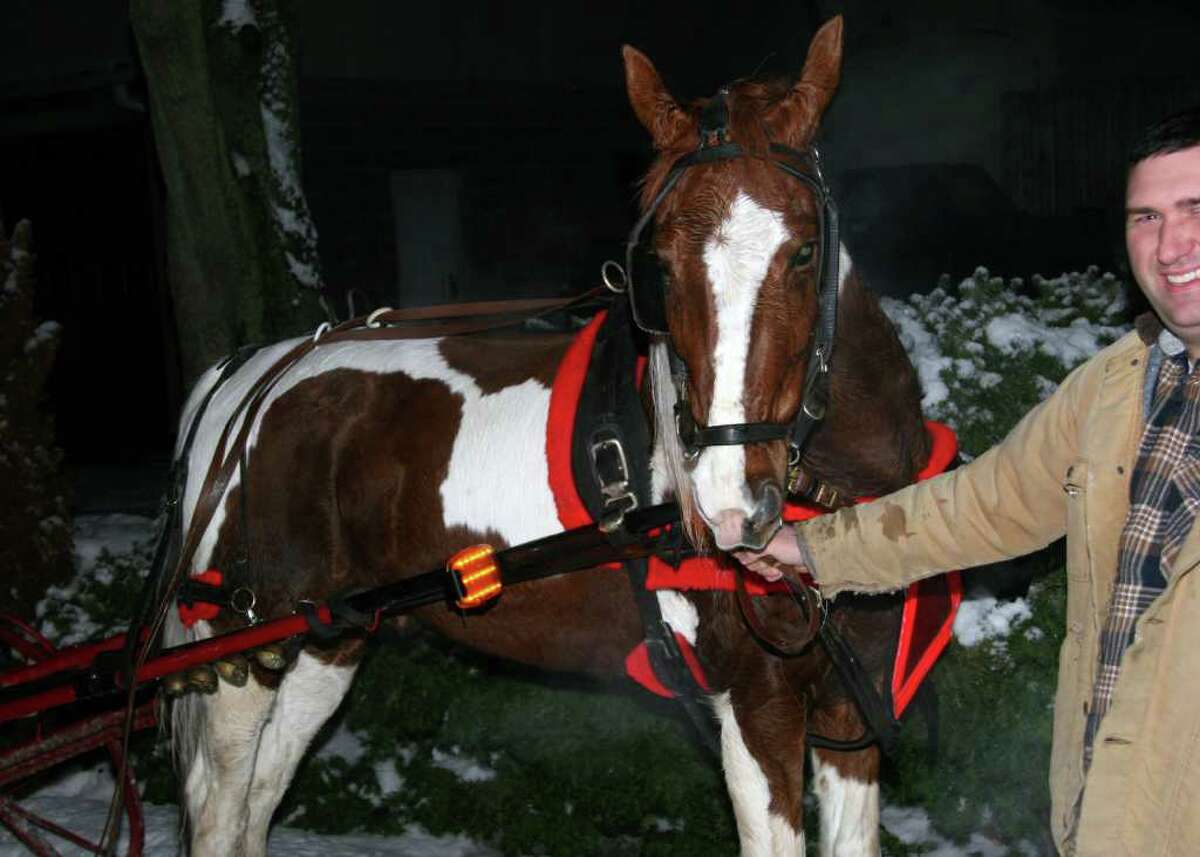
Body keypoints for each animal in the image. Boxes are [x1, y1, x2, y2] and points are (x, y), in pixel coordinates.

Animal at [165, 15, 930, 856]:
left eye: (803, 251)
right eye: (660, 263)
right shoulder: (756, 703)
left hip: (330, 634)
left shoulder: (851, 713)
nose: (730, 505)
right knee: (222, 800)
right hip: (247, 640)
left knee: (264, 788)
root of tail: (259, 371)